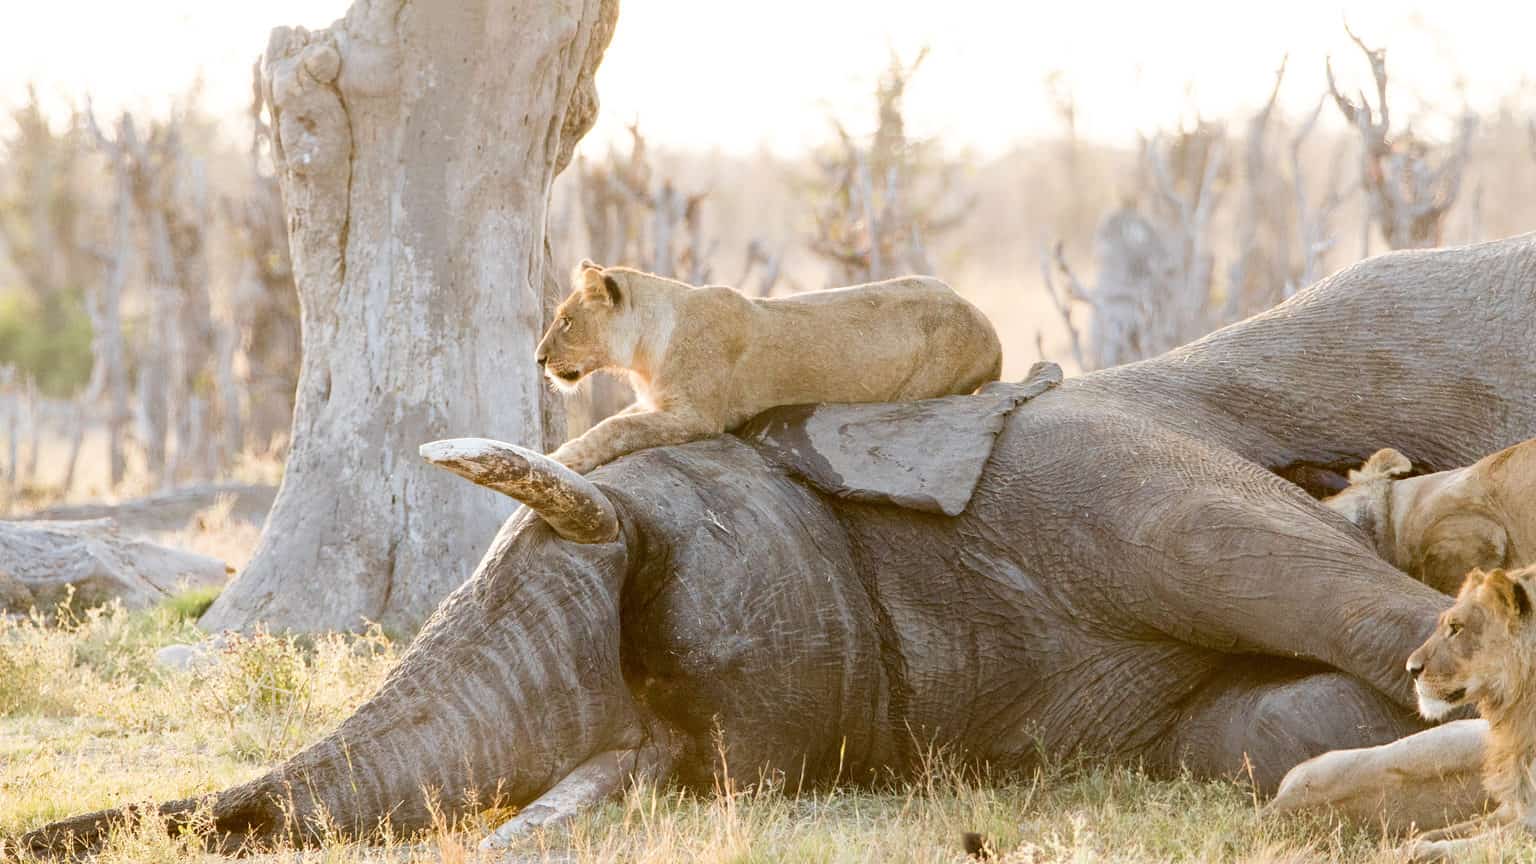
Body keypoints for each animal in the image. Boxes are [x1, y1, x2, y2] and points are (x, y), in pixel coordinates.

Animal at [536, 261, 1003, 475]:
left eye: (566, 321)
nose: (539, 359)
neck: (643, 354)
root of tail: (989, 327)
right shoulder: (659, 402)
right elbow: (612, 420)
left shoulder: (697, 416)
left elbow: (616, 428)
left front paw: (563, 460)